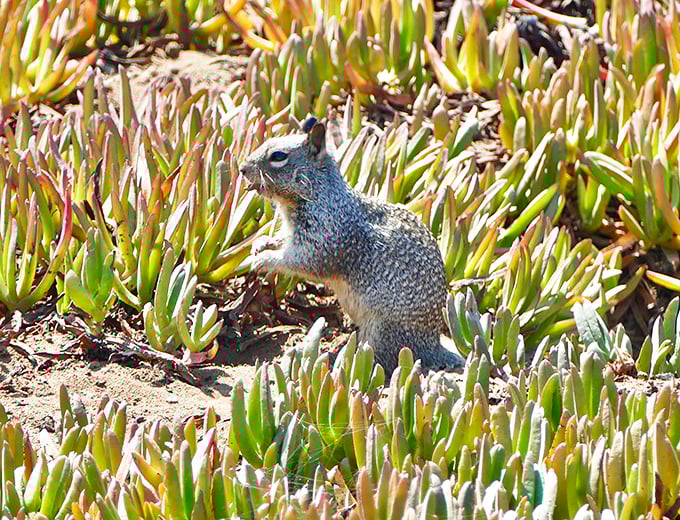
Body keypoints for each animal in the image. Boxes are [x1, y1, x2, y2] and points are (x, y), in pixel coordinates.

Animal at [238, 117, 465, 376]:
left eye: (278, 156)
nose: (241, 168)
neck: (321, 196)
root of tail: (432, 344)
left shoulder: (325, 238)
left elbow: (301, 261)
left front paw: (262, 259)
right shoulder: (295, 233)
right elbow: (281, 241)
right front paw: (261, 244)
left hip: (382, 332)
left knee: (381, 360)